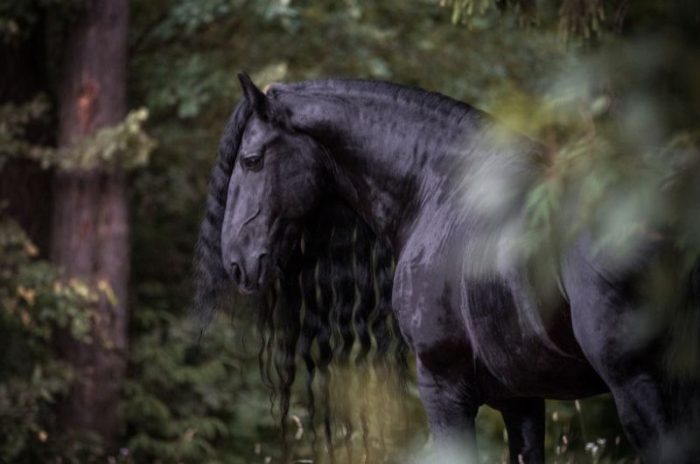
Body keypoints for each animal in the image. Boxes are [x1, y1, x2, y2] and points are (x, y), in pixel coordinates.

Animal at [193, 74, 700, 463]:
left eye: (251, 160)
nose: (235, 260)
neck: (437, 188)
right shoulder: (521, 398)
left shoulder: (443, 389)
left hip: (637, 382)